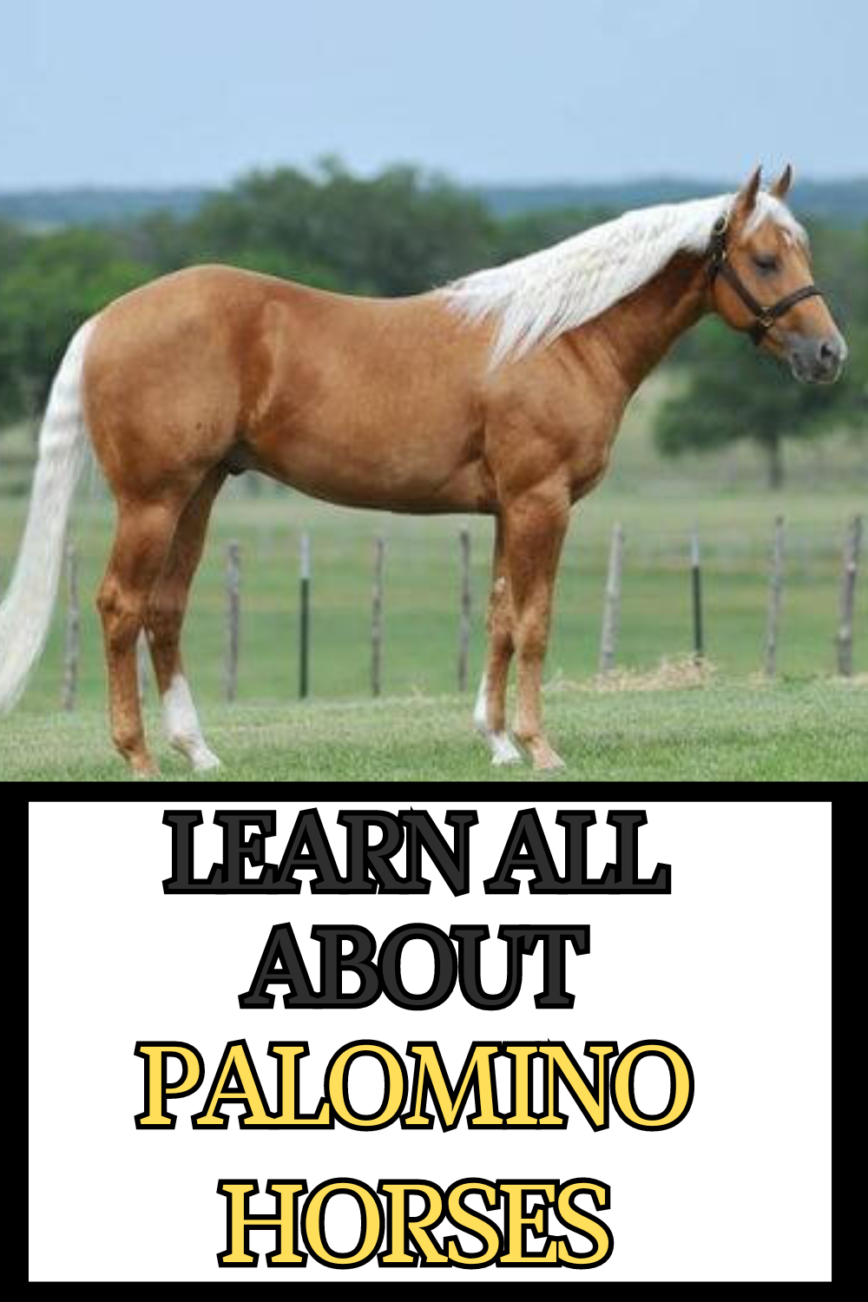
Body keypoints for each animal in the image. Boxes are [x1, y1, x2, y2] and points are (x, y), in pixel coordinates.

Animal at [0, 165, 847, 775]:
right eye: (764, 258)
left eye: (803, 252)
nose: (829, 353)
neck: (560, 338)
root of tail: (106, 319)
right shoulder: (542, 503)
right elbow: (535, 622)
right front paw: (541, 748)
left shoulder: (509, 509)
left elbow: (501, 615)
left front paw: (497, 743)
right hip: (152, 499)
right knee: (119, 607)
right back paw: (138, 756)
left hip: (199, 492)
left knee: (165, 609)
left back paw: (199, 751)